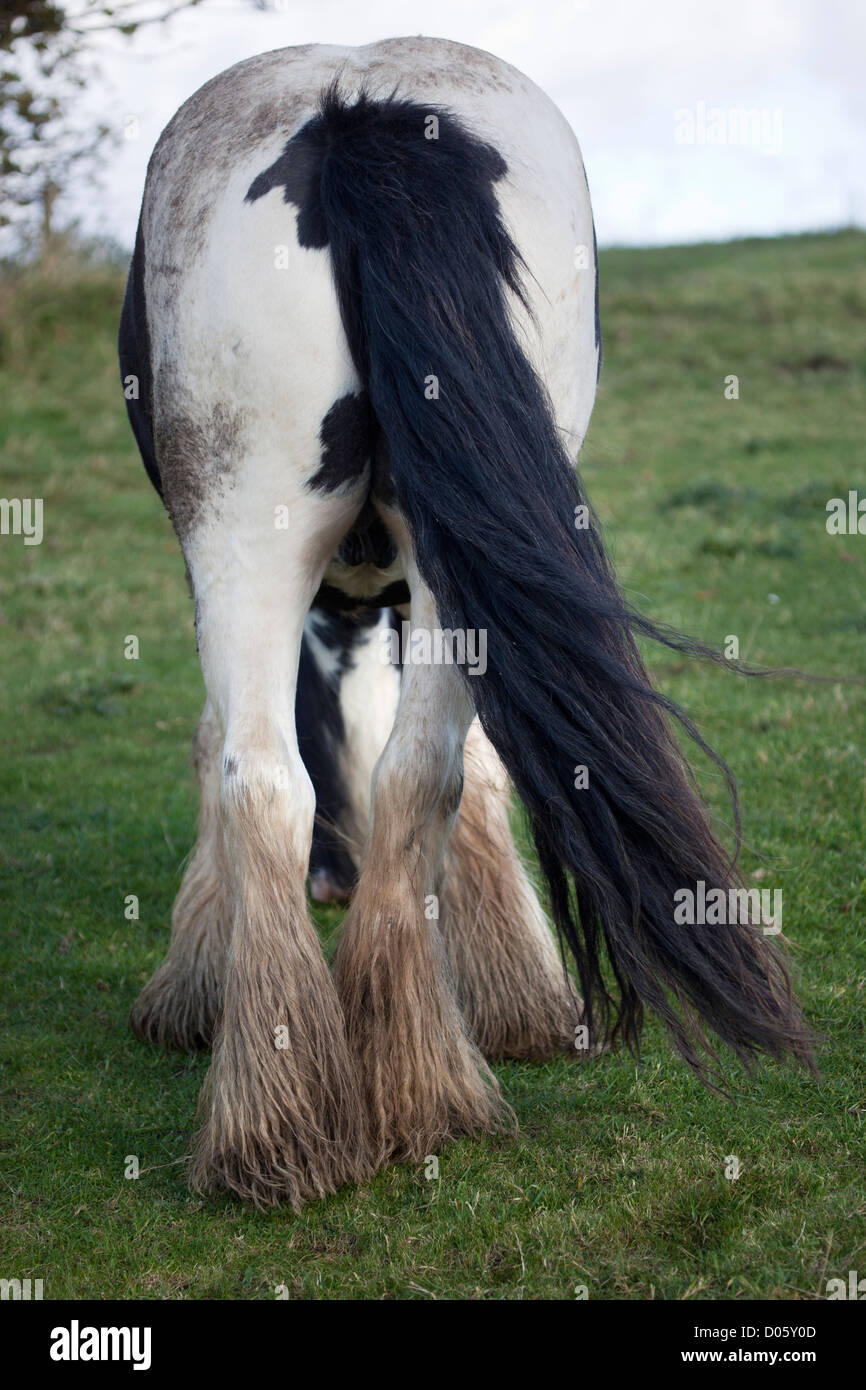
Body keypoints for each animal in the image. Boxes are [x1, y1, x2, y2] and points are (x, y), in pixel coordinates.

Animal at [118, 36, 813, 1209]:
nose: (334, 878)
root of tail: (354, 108)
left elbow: (219, 741)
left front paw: (194, 978)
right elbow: (465, 763)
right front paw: (517, 994)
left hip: (241, 530)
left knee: (267, 778)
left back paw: (282, 1124)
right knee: (413, 772)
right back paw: (415, 1093)